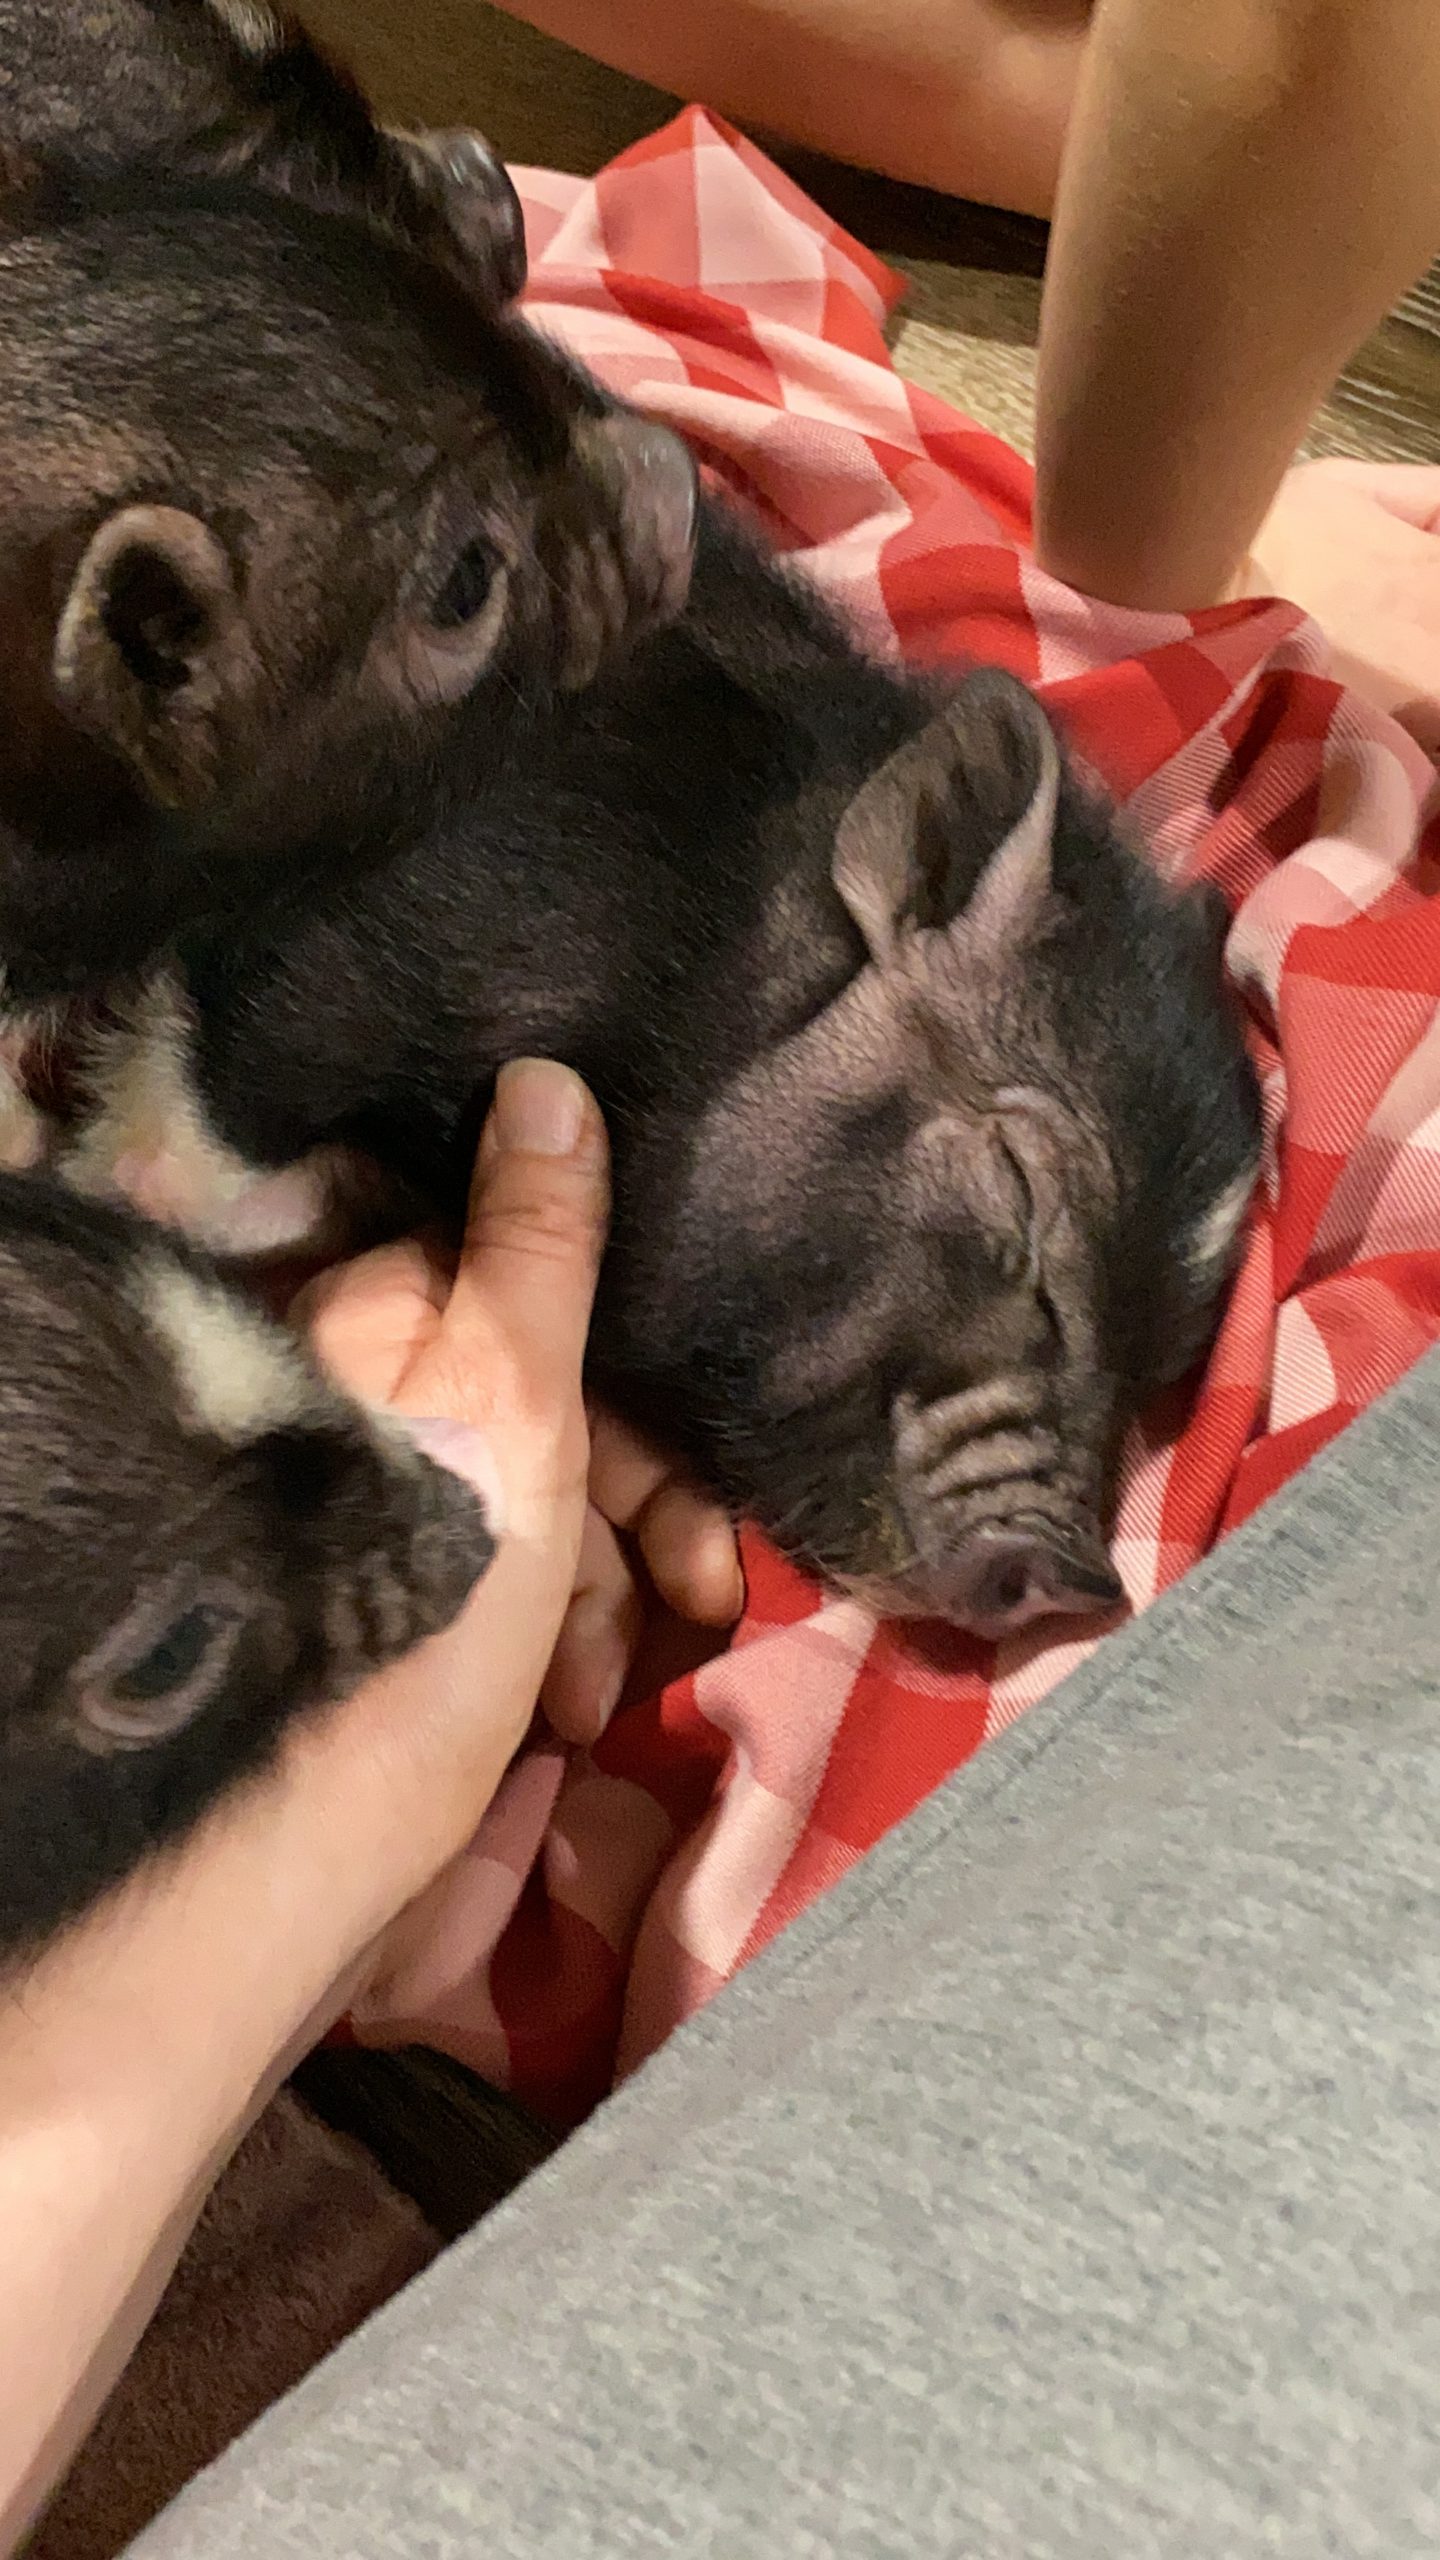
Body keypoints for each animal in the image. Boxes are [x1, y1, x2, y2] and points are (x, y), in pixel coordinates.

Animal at [64, 500, 1263, 1639]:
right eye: (1016, 1182)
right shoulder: (344, 967)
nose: (1083, 1588)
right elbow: (209, 1145)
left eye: (1159, 1376)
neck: (697, 964)